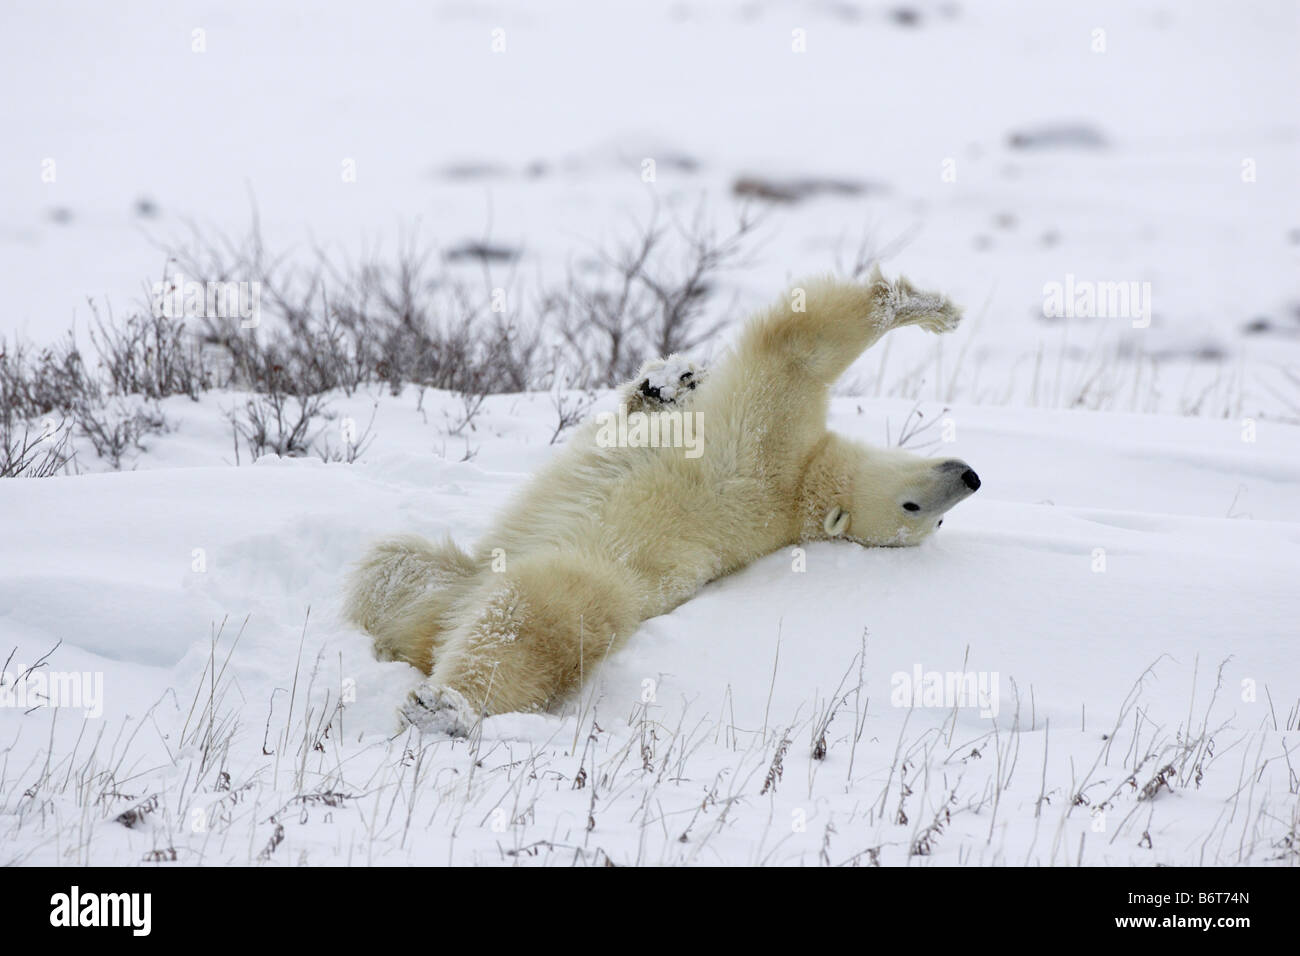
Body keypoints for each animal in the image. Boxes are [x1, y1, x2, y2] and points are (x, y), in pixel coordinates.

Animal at [344, 266, 980, 736]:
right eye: (921, 513)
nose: (971, 478)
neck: (801, 491)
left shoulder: (772, 437)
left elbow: (803, 344)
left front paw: (924, 307)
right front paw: (669, 380)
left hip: (596, 578)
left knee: (540, 616)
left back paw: (446, 710)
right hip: (443, 579)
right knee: (393, 569)